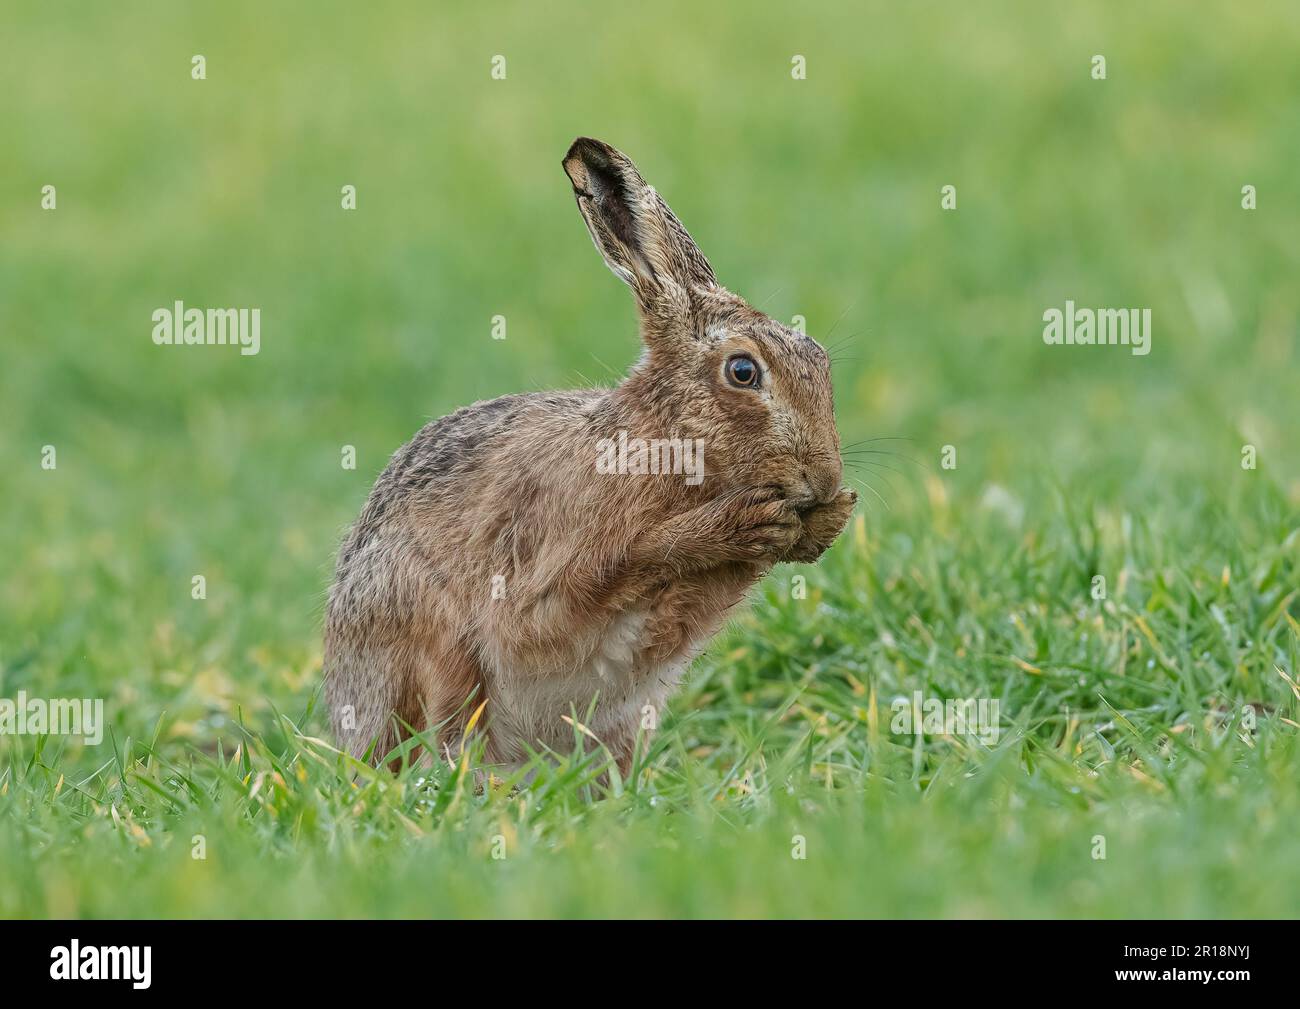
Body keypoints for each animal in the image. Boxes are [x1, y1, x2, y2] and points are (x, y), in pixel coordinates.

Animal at [324, 137, 856, 773]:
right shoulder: (548, 571)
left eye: (820, 358)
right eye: (743, 372)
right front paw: (734, 526)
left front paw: (825, 522)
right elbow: (599, 581)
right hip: (431, 644)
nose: (825, 479)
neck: (665, 443)